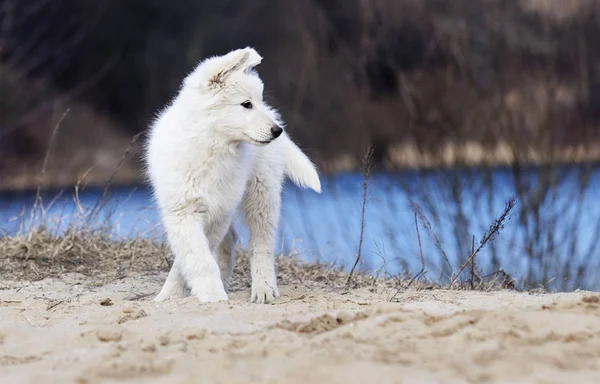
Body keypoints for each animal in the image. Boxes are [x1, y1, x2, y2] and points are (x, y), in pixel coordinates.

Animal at [145, 47, 322, 304]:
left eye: (257, 101)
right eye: (246, 104)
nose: (278, 131)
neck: (212, 147)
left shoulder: (215, 213)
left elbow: (197, 256)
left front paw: (203, 293)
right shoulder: (183, 210)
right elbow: (196, 256)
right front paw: (190, 294)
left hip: (260, 194)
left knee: (261, 244)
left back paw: (264, 288)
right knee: (229, 243)